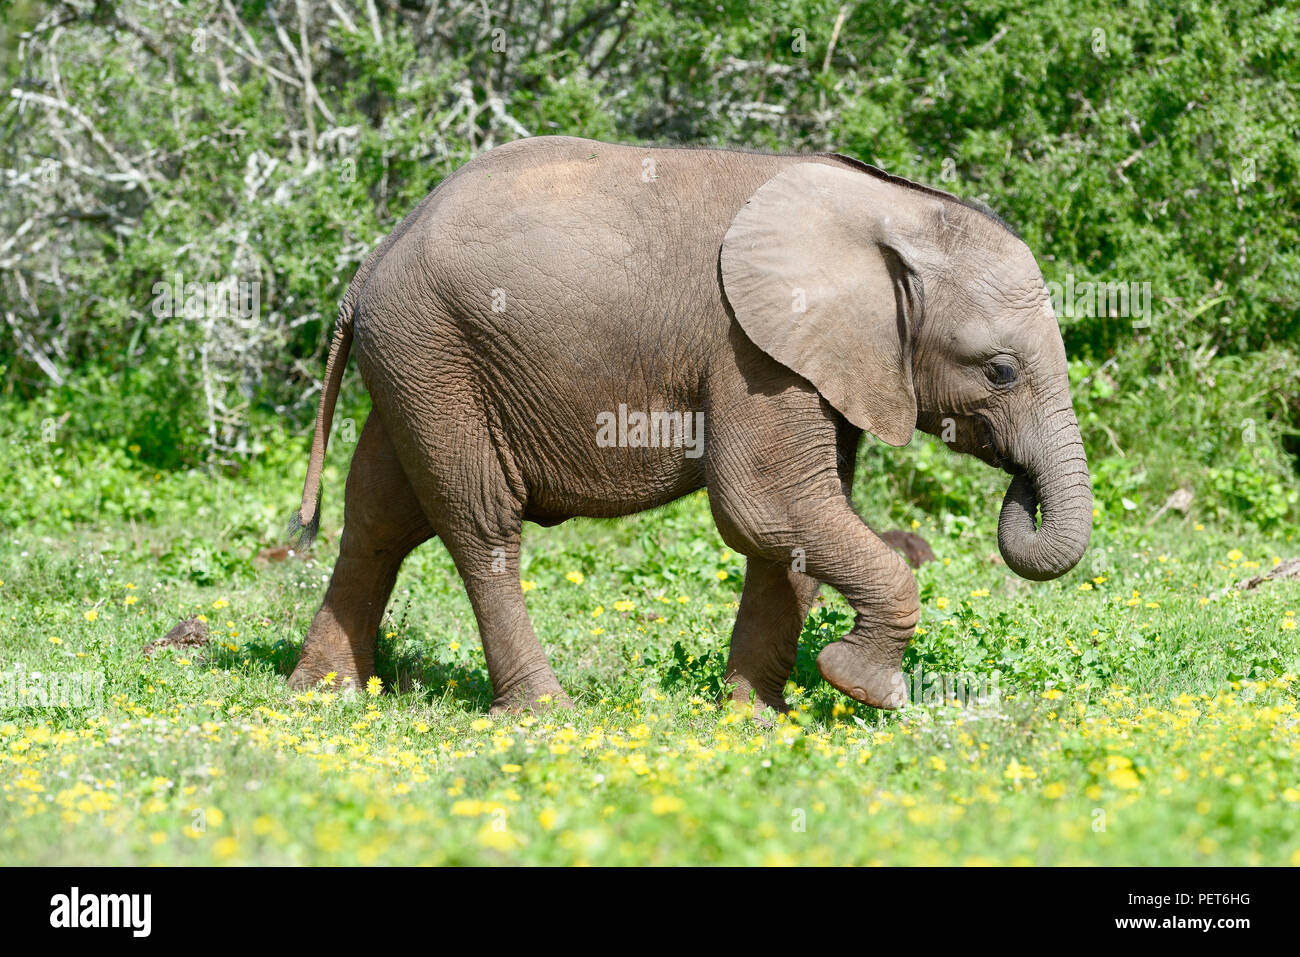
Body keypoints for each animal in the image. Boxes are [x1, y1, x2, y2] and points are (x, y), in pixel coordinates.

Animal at [286, 135, 1091, 713]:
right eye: (1000, 371)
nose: (1021, 485)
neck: (892, 210)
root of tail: (372, 261)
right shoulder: (751, 349)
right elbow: (764, 505)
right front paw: (861, 686)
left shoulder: (816, 359)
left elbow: (793, 527)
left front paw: (753, 718)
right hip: (438, 351)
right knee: (480, 524)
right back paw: (545, 713)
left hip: (414, 360)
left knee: (378, 518)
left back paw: (323, 696)